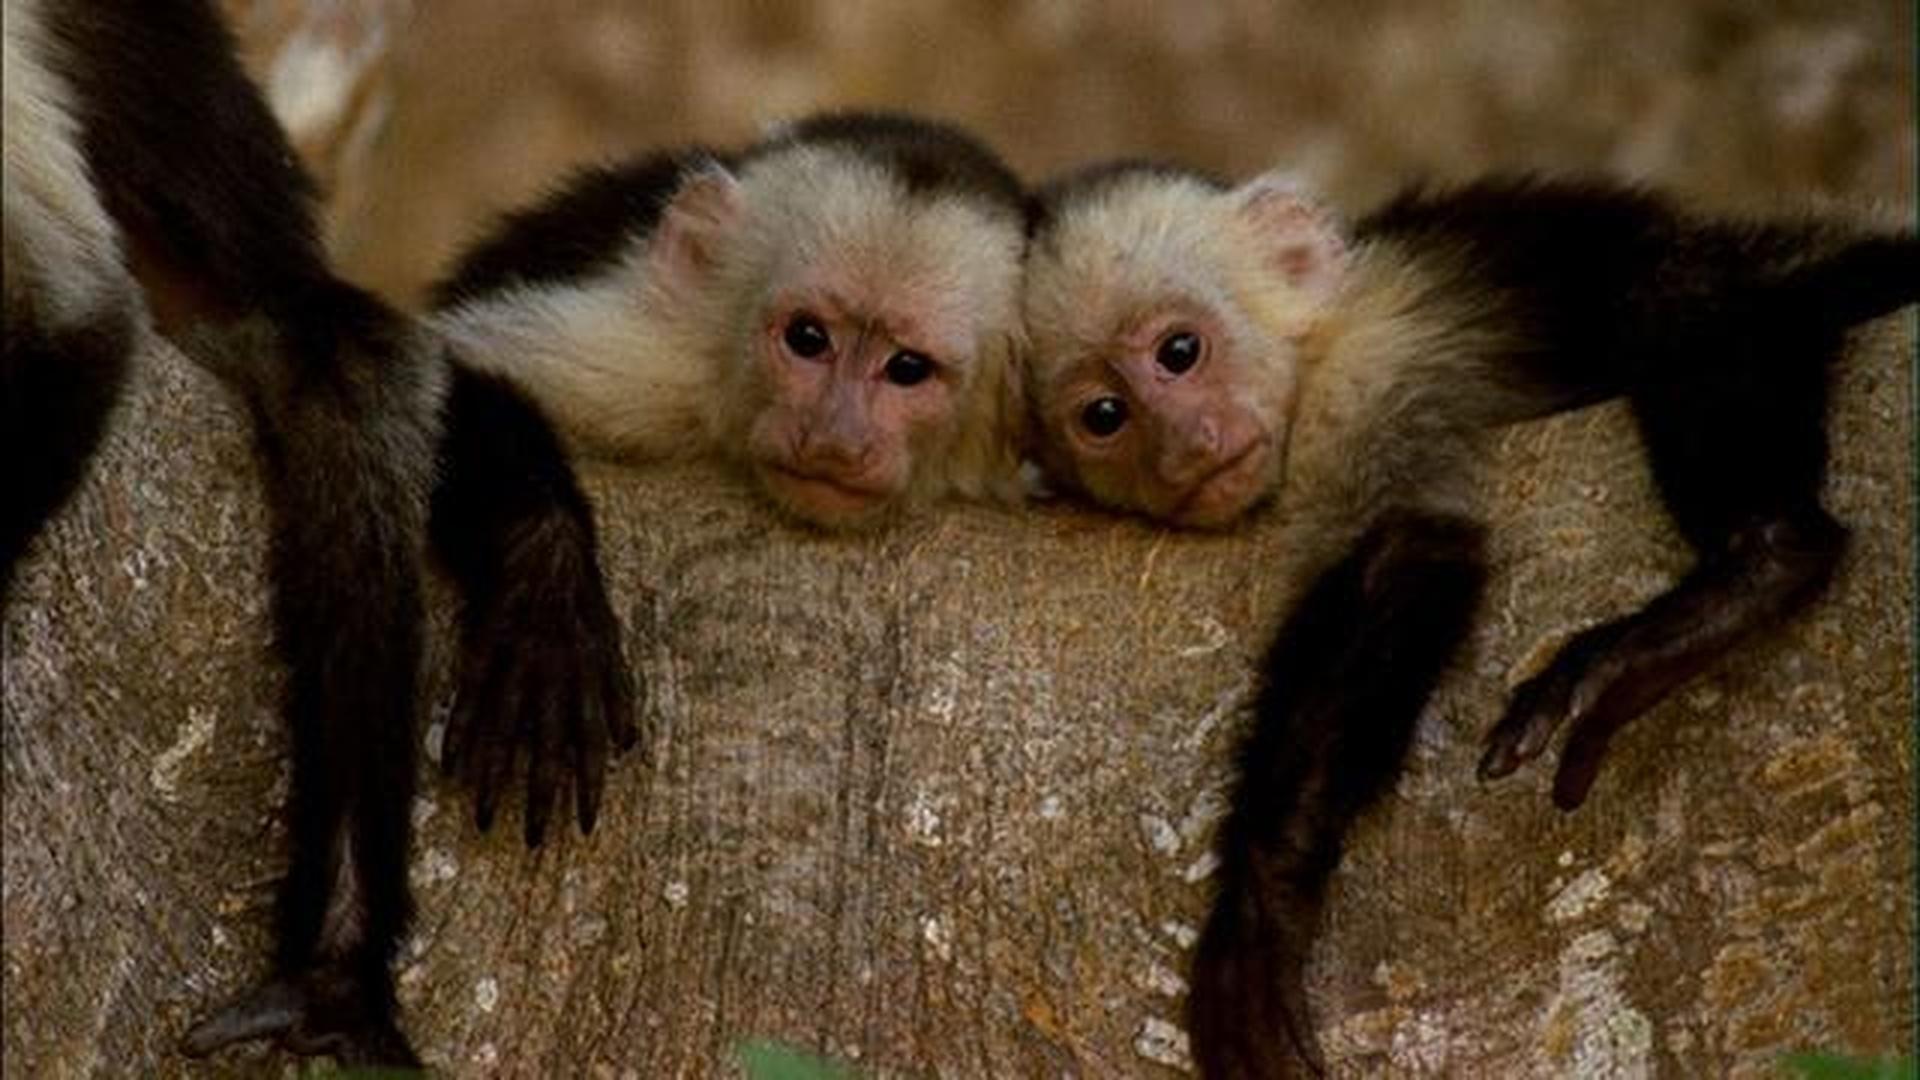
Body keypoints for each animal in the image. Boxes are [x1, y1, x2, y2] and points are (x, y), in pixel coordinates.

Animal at [1020, 163, 1919, 1076]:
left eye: (1180, 351)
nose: (1186, 445)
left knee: (1672, 283)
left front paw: (1260, 895)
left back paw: (1761, 558)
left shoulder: (1367, 365)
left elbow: (1408, 546)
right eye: (1104, 417)